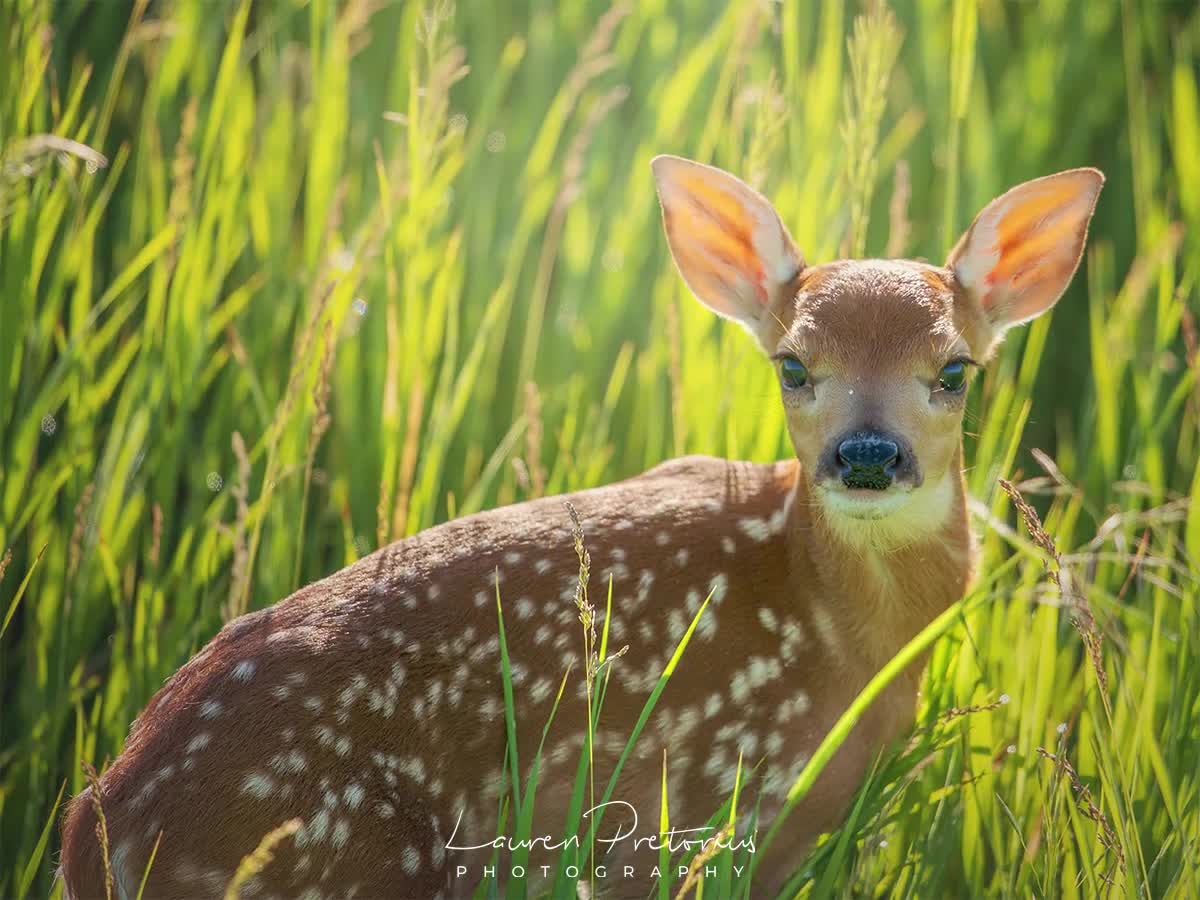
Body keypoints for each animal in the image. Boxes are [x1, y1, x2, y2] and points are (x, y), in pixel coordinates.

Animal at [59, 156, 1103, 900]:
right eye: (794, 366)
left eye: (956, 370)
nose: (869, 456)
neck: (841, 631)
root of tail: (95, 828)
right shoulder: (696, 814)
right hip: (345, 861)